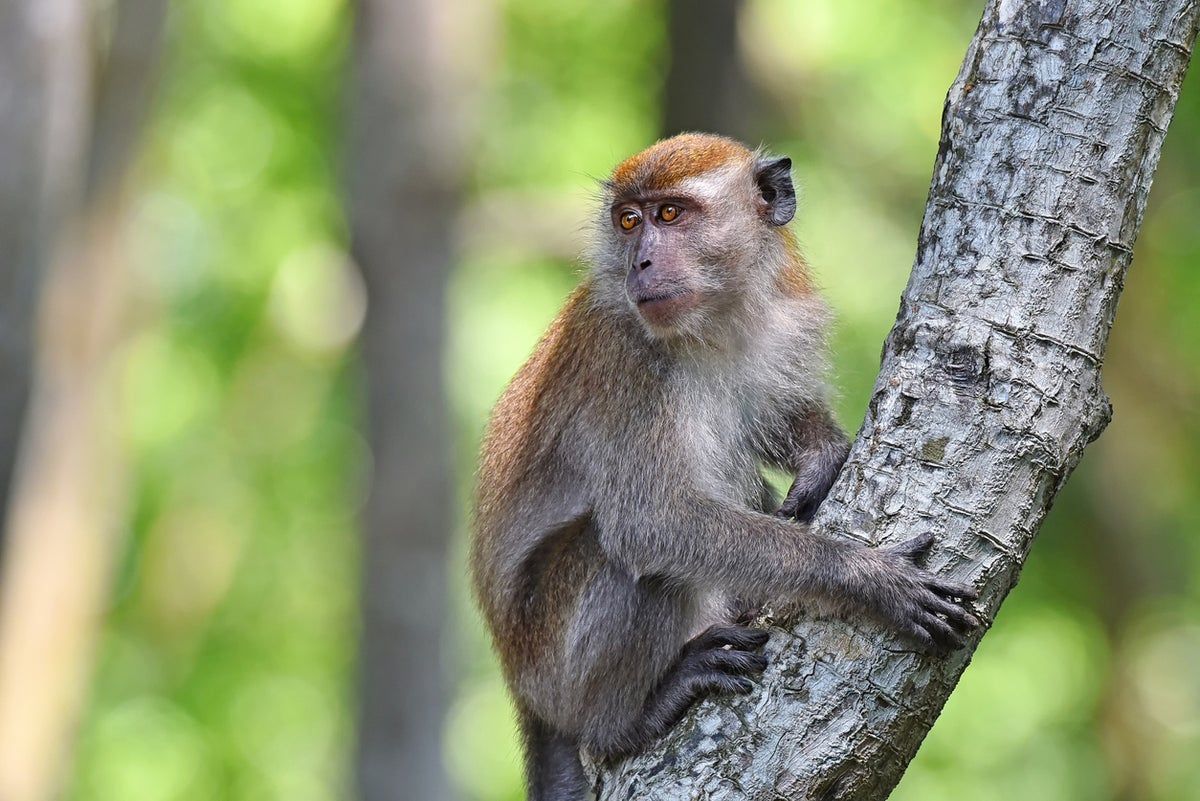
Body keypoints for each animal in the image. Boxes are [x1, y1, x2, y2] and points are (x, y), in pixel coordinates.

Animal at [470, 133, 979, 801]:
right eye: (628, 221)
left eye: (669, 215)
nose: (639, 264)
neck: (711, 328)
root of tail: (518, 684)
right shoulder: (625, 366)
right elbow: (654, 522)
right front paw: (867, 576)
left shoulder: (784, 318)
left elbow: (778, 416)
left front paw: (821, 457)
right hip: (551, 662)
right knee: (624, 559)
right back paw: (625, 723)